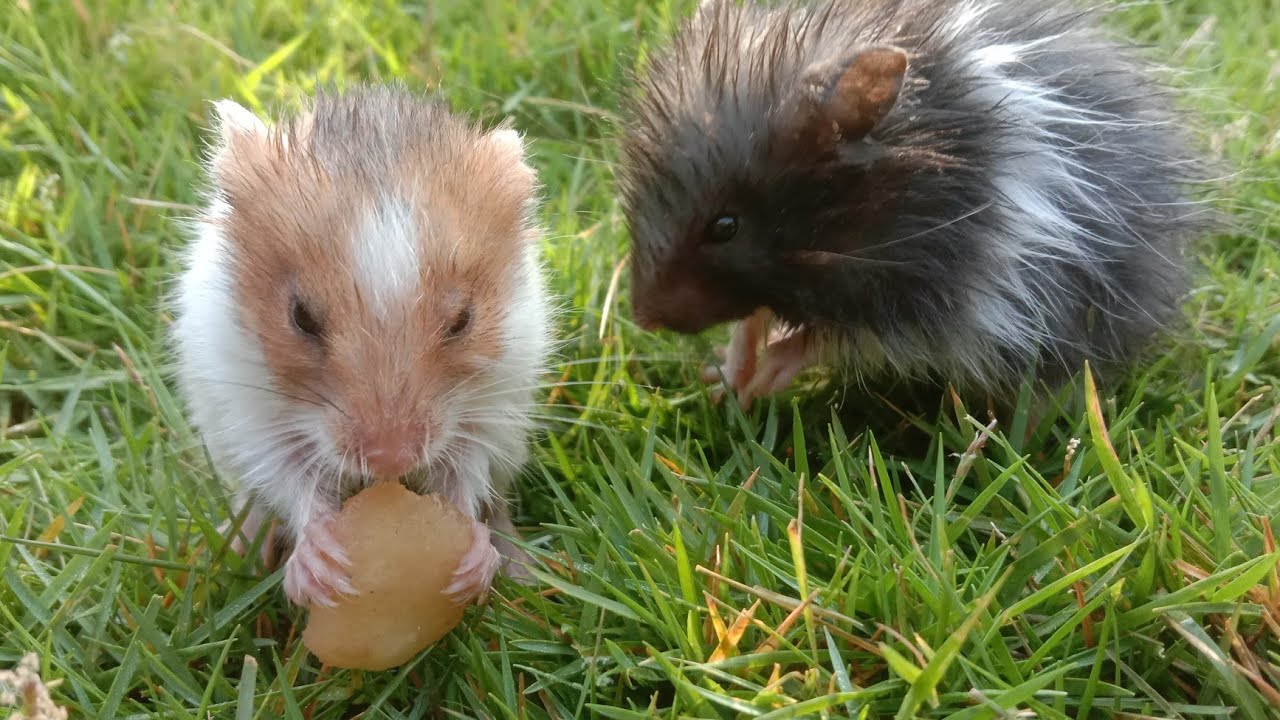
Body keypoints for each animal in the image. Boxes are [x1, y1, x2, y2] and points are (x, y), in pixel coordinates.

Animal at [169, 86, 554, 607]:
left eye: (463, 319)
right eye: (301, 317)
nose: (391, 461)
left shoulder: (493, 408)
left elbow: (466, 473)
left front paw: (471, 564)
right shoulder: (252, 418)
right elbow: (292, 479)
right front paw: (320, 571)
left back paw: (522, 571)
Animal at [618, 0, 1214, 408]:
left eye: (725, 226)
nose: (642, 318)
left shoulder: (930, 299)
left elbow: (833, 339)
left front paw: (762, 381)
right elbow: (756, 315)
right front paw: (726, 379)